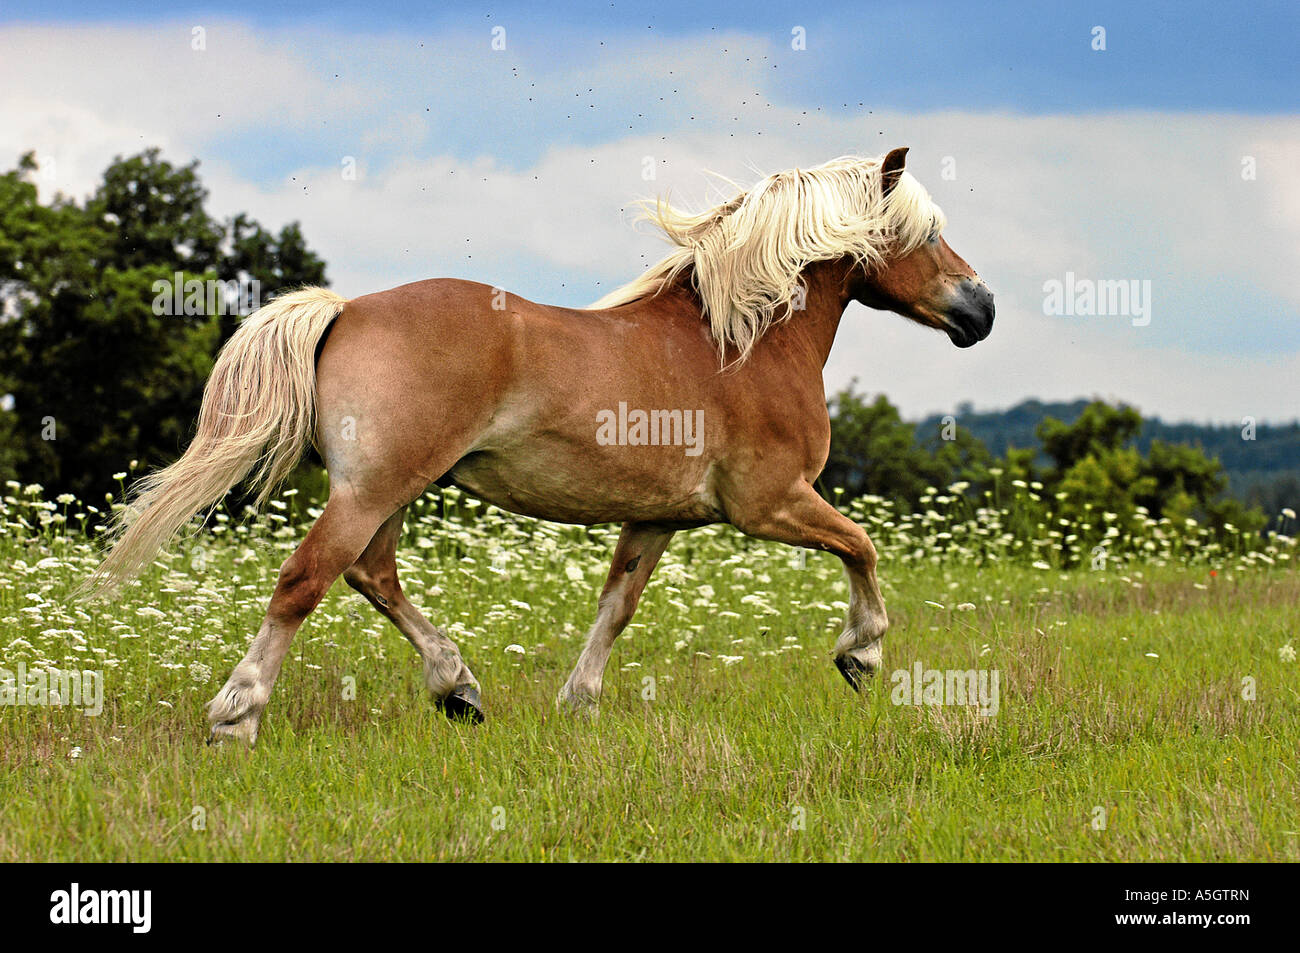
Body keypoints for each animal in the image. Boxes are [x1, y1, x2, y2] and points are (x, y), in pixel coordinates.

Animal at [83, 147, 994, 746]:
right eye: (926, 234)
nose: (980, 310)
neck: (743, 340)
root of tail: (345, 310)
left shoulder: (658, 518)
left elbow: (616, 605)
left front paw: (578, 701)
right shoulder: (770, 504)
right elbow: (862, 547)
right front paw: (860, 654)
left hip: (388, 490)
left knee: (370, 575)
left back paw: (458, 689)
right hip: (375, 489)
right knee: (304, 581)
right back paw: (237, 716)